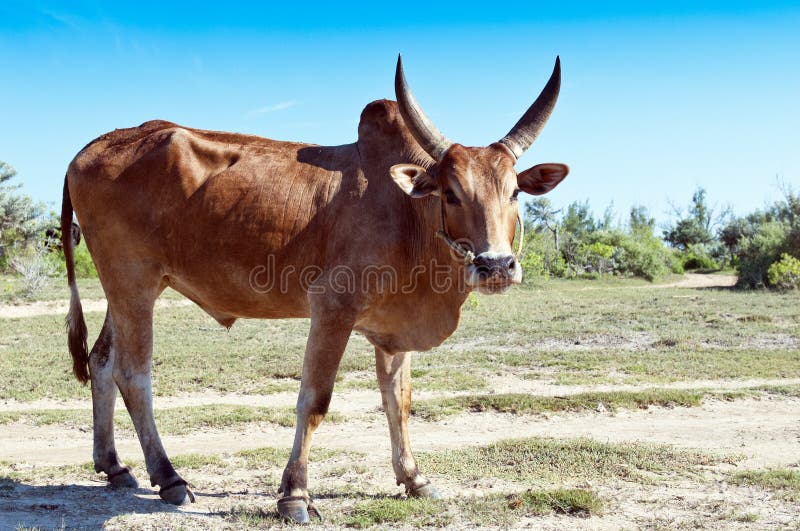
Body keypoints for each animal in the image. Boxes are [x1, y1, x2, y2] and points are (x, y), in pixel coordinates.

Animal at [61, 56, 568, 523]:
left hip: (128, 289)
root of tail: (87, 149)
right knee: (133, 375)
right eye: (450, 193)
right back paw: (168, 478)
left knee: (101, 362)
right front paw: (295, 494)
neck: (406, 213)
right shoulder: (332, 310)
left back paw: (114, 466)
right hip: (133, 282)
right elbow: (315, 400)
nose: (496, 265)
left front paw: (414, 477)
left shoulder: (393, 328)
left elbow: (398, 399)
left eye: (514, 192)